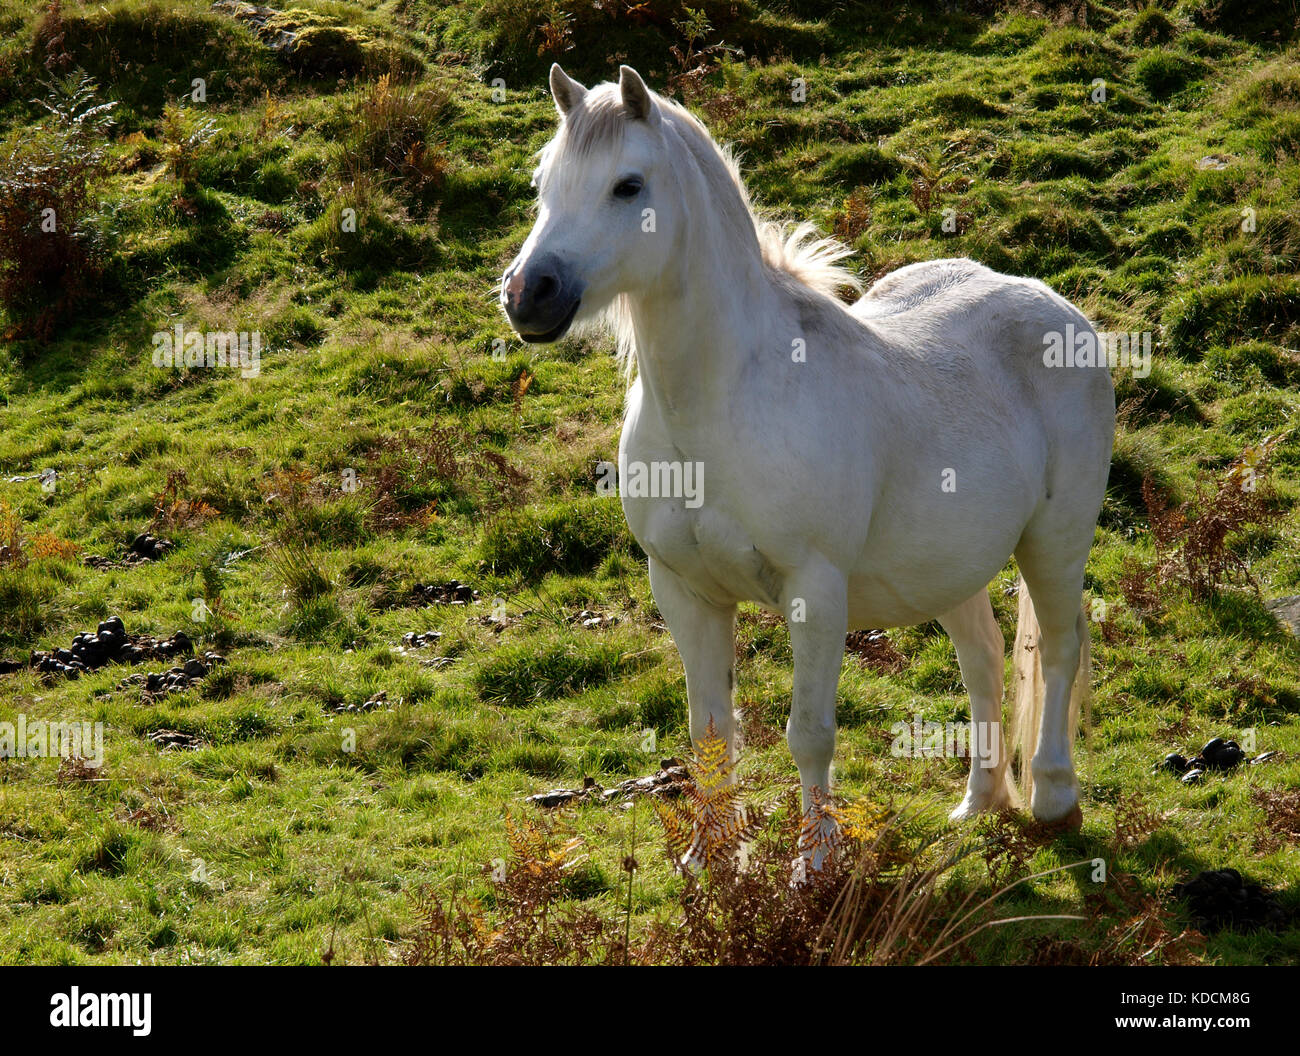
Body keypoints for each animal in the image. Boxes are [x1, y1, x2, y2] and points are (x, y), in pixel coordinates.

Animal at [500, 64, 1115, 868]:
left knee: (1060, 649)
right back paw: (979, 803)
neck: (722, 403)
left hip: (1054, 541)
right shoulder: (685, 591)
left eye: (627, 185)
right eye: (544, 181)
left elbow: (810, 735)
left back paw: (1051, 798)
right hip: (951, 565)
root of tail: (1057, 310)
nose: (527, 295)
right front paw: (711, 860)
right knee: (982, 658)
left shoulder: (815, 593)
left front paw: (813, 864)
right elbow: (709, 729)